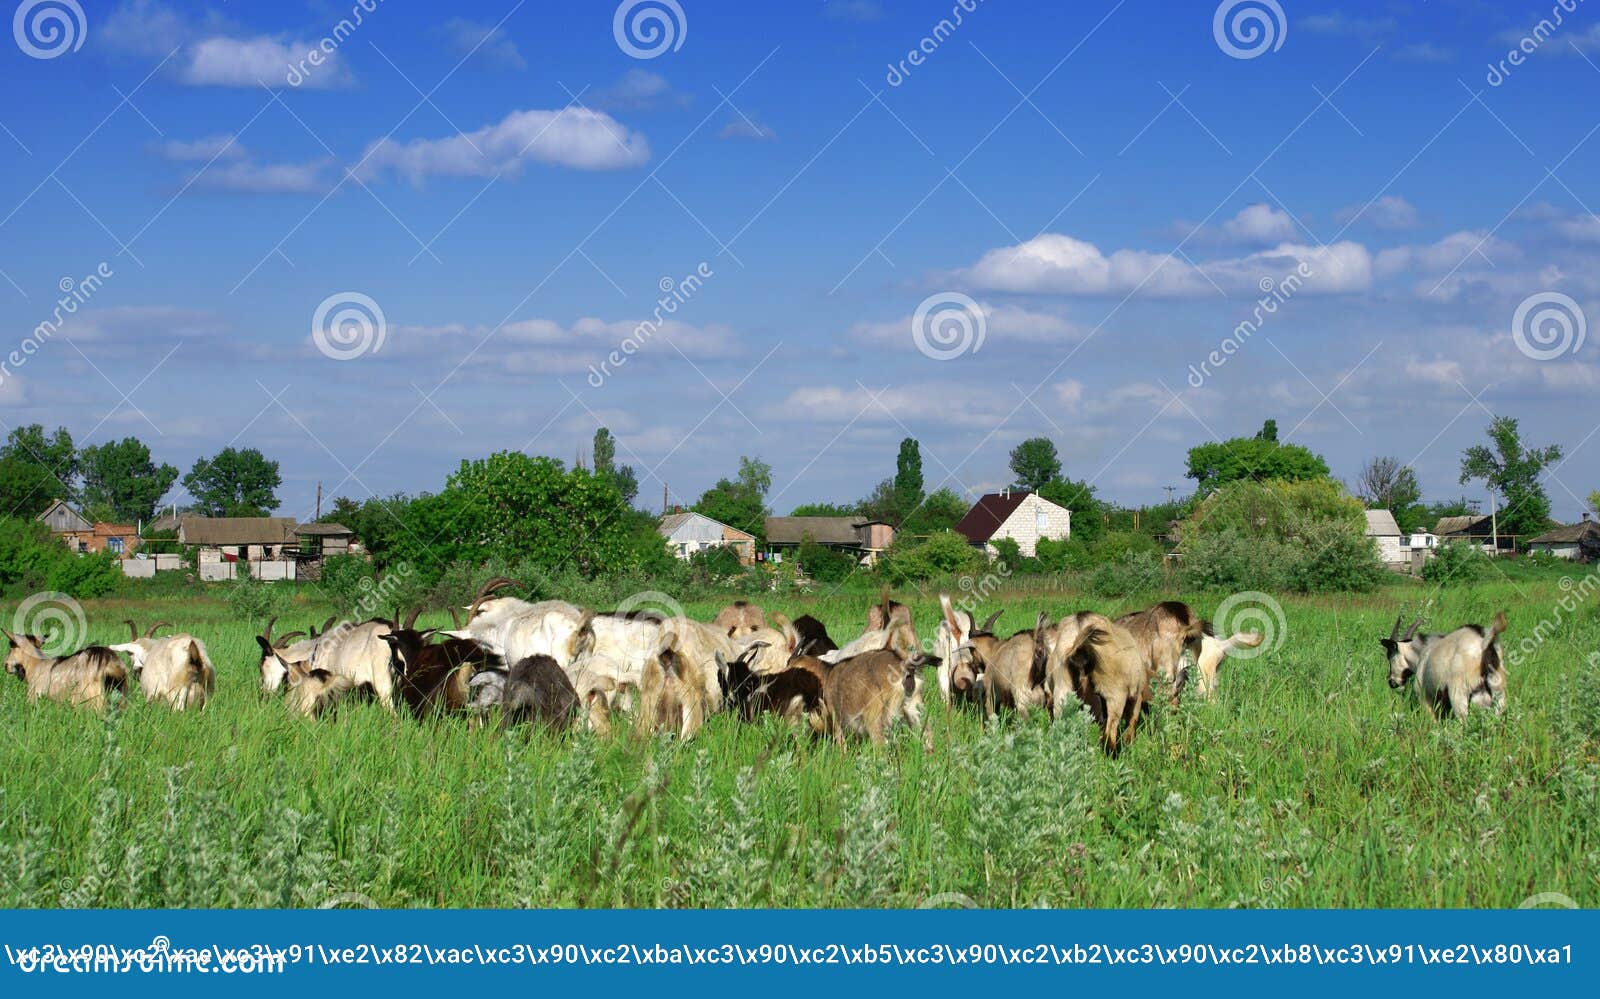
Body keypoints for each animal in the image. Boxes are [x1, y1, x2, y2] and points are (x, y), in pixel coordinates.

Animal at [1042, 612, 1150, 755]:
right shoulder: (1135, 696)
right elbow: (1131, 722)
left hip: (1062, 691)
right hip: (1115, 695)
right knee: (1110, 731)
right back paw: (1112, 755)